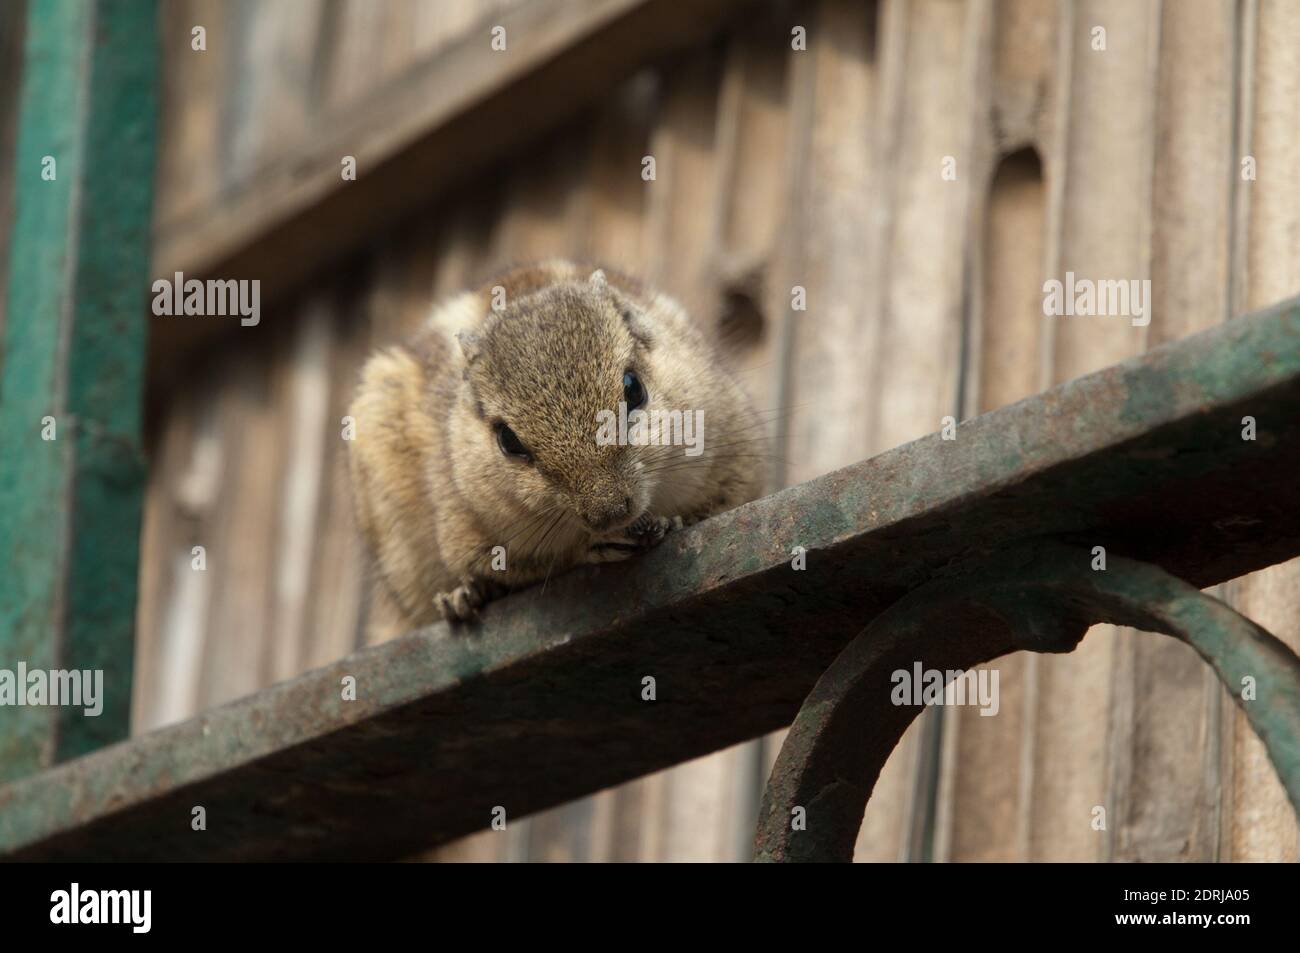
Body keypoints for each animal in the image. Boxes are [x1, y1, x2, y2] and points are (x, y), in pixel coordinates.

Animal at [347, 260, 764, 625]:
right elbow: (530, 567)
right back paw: (461, 598)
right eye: (508, 440)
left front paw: (675, 521)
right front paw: (595, 546)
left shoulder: (738, 456)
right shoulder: (466, 532)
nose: (610, 513)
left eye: (634, 388)